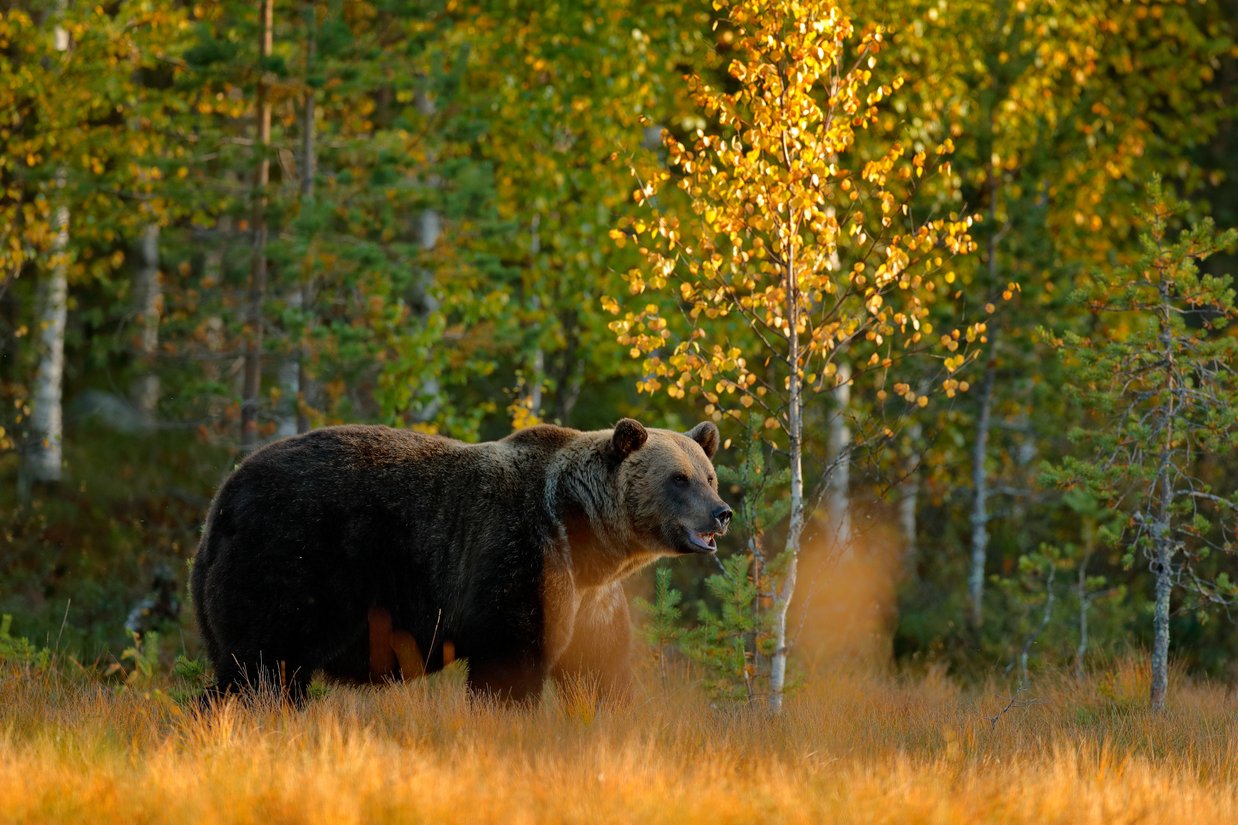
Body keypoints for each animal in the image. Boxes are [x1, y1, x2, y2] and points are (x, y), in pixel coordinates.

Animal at [190, 418, 731, 705]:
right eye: (678, 479)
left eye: (708, 475)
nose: (721, 513)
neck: (585, 540)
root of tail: (223, 497)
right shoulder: (520, 556)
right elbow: (509, 658)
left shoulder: (591, 598)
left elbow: (600, 666)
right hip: (293, 558)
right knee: (265, 665)